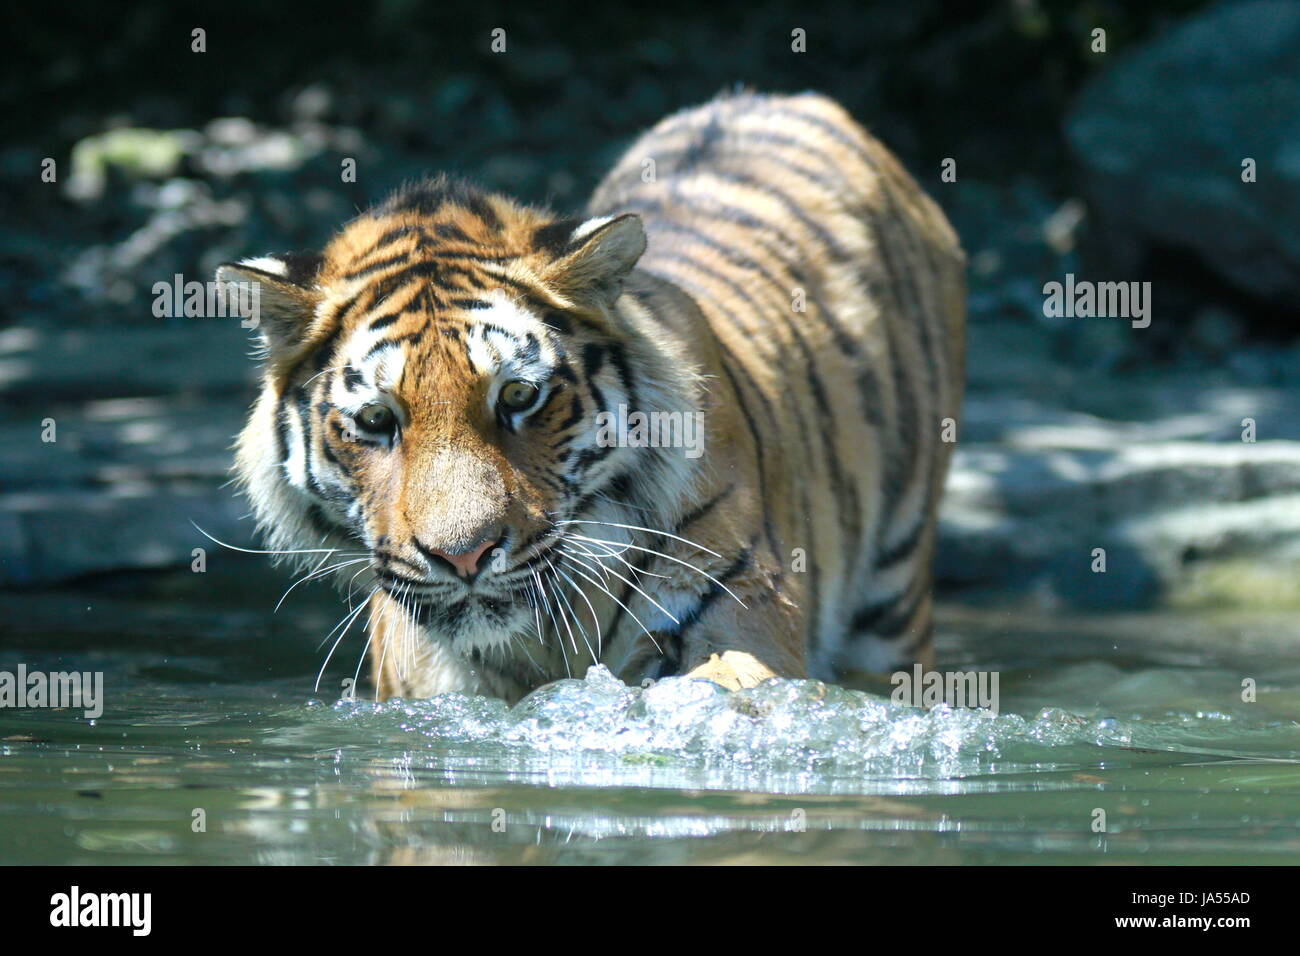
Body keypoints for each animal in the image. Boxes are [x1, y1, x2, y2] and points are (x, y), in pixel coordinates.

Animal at [219, 91, 965, 704]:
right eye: (377, 419)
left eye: (518, 395)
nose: (463, 558)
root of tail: (789, 99)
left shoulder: (733, 609)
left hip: (893, 594)